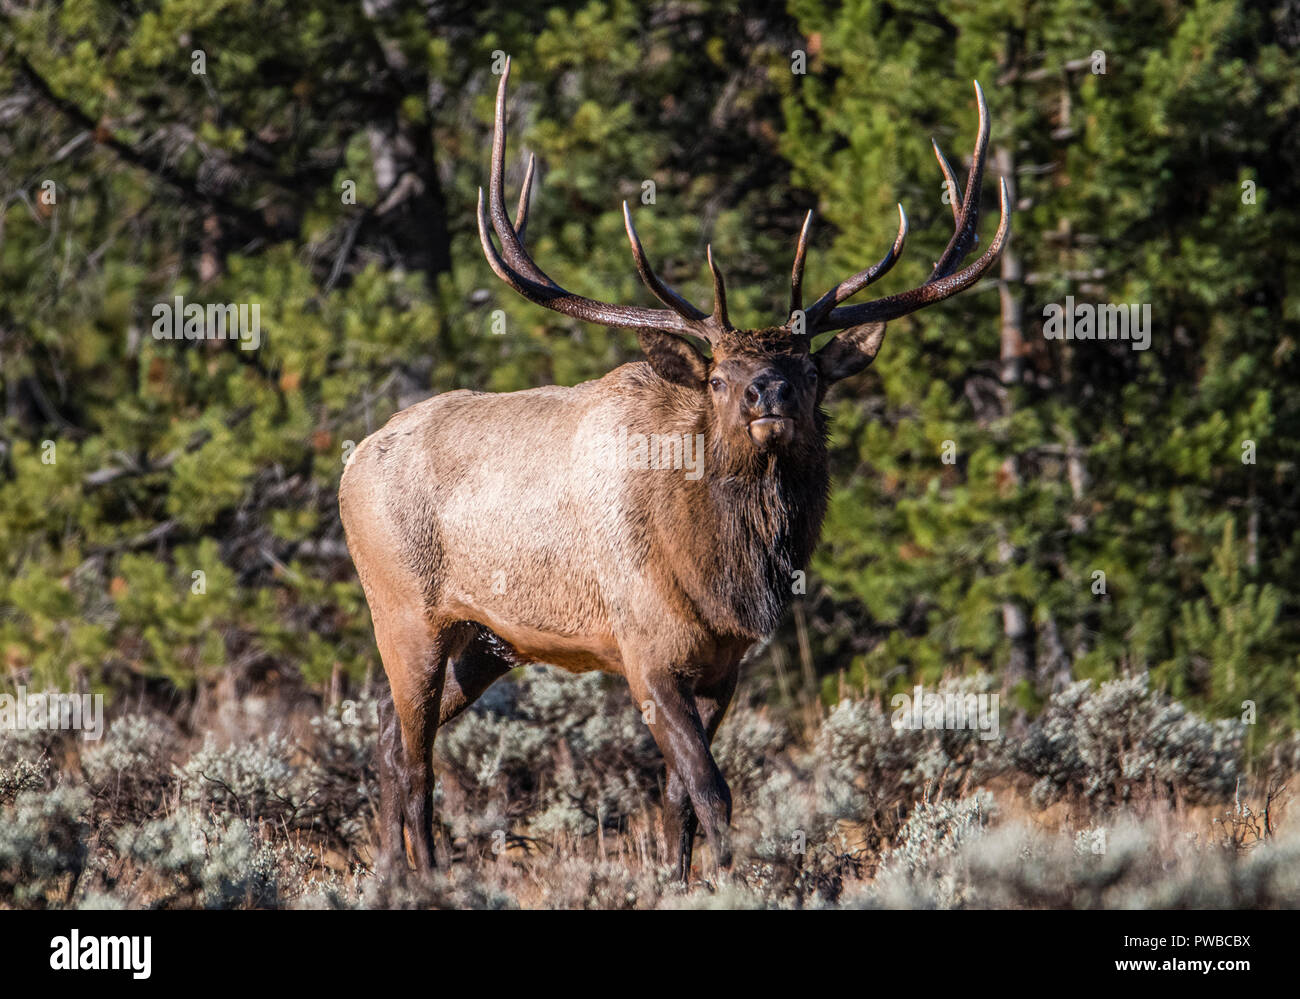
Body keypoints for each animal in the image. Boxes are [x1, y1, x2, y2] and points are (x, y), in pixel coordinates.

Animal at [339, 58, 1008, 881]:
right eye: (717, 377)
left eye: (811, 372)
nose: (768, 392)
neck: (725, 572)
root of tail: (352, 462)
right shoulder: (644, 649)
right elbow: (711, 788)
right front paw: (734, 879)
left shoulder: (724, 663)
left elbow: (678, 799)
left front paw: (681, 877)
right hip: (403, 611)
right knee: (415, 757)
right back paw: (425, 874)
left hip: (485, 641)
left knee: (388, 738)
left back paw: (390, 872)